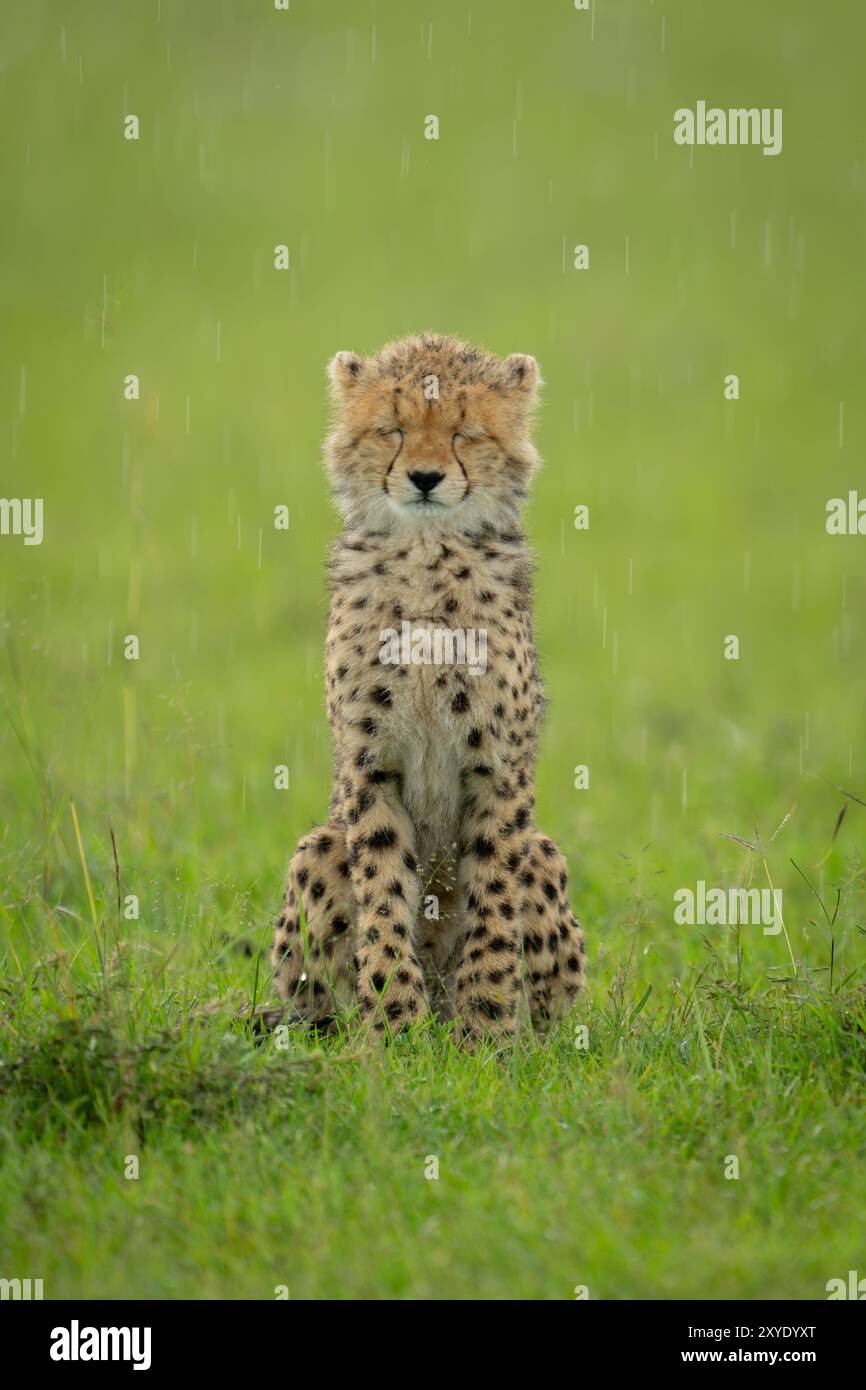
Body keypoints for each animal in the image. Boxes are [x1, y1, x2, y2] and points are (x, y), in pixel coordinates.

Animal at [270, 333, 586, 1045]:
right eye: (393, 429)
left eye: (464, 433)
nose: (424, 477)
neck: (426, 553)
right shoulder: (369, 765)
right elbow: (383, 890)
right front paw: (394, 1024)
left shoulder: (497, 769)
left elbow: (494, 894)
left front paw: (487, 1025)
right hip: (319, 848)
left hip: (543, 854)